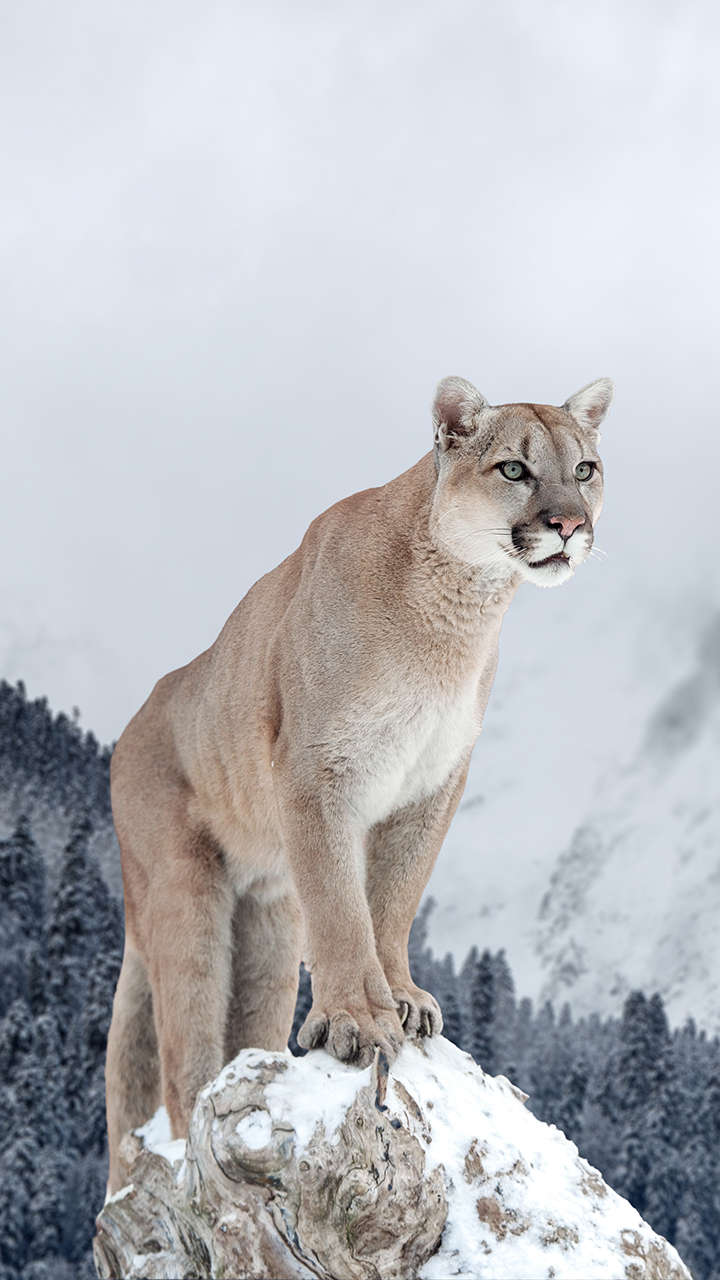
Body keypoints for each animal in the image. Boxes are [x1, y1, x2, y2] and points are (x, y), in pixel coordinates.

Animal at [105, 373, 613, 1192]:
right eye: (514, 469)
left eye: (585, 470)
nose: (569, 523)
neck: (456, 611)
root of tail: (128, 727)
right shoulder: (319, 771)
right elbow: (344, 907)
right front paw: (357, 1020)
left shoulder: (432, 784)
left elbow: (394, 897)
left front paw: (401, 999)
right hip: (186, 896)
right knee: (184, 1063)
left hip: (270, 918)